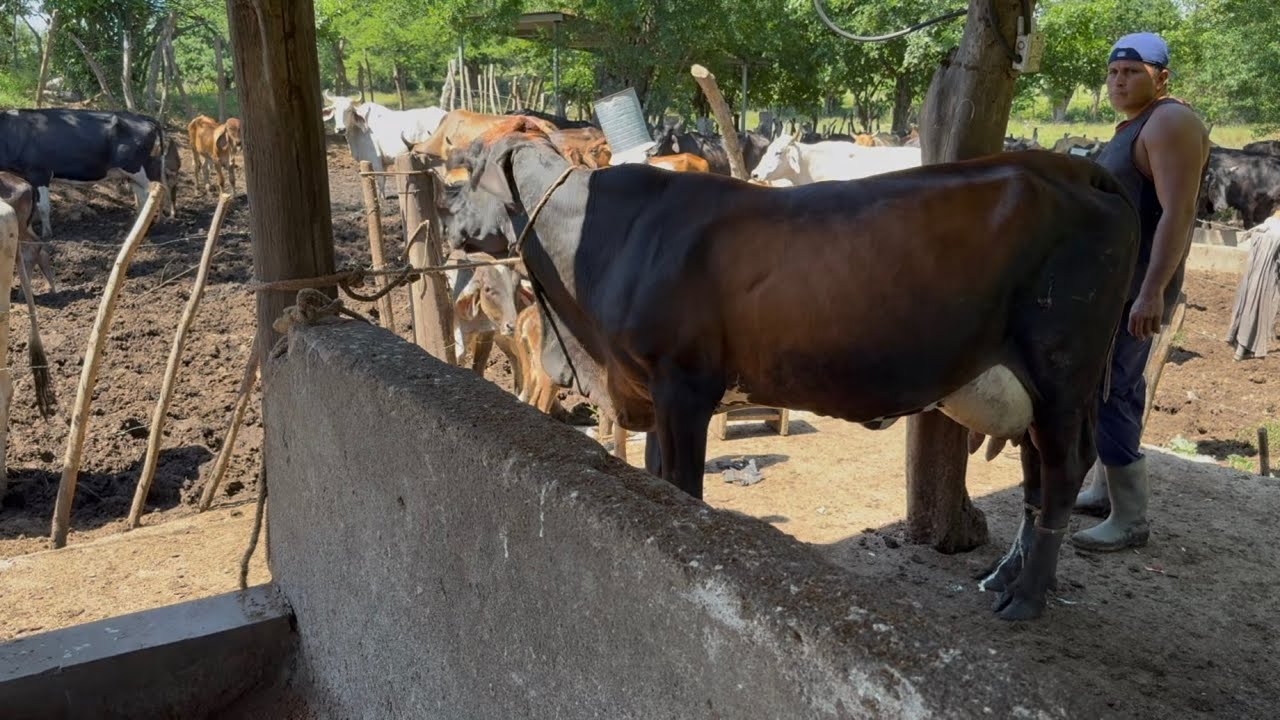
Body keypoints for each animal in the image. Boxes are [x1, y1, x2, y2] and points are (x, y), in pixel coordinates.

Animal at [0, 108, 177, 236]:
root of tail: (142, 116)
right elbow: (34, 206)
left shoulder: (40, 173)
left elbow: (43, 206)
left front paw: (46, 234)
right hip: (134, 173)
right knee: (143, 196)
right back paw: (138, 227)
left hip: (136, 167)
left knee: (156, 190)